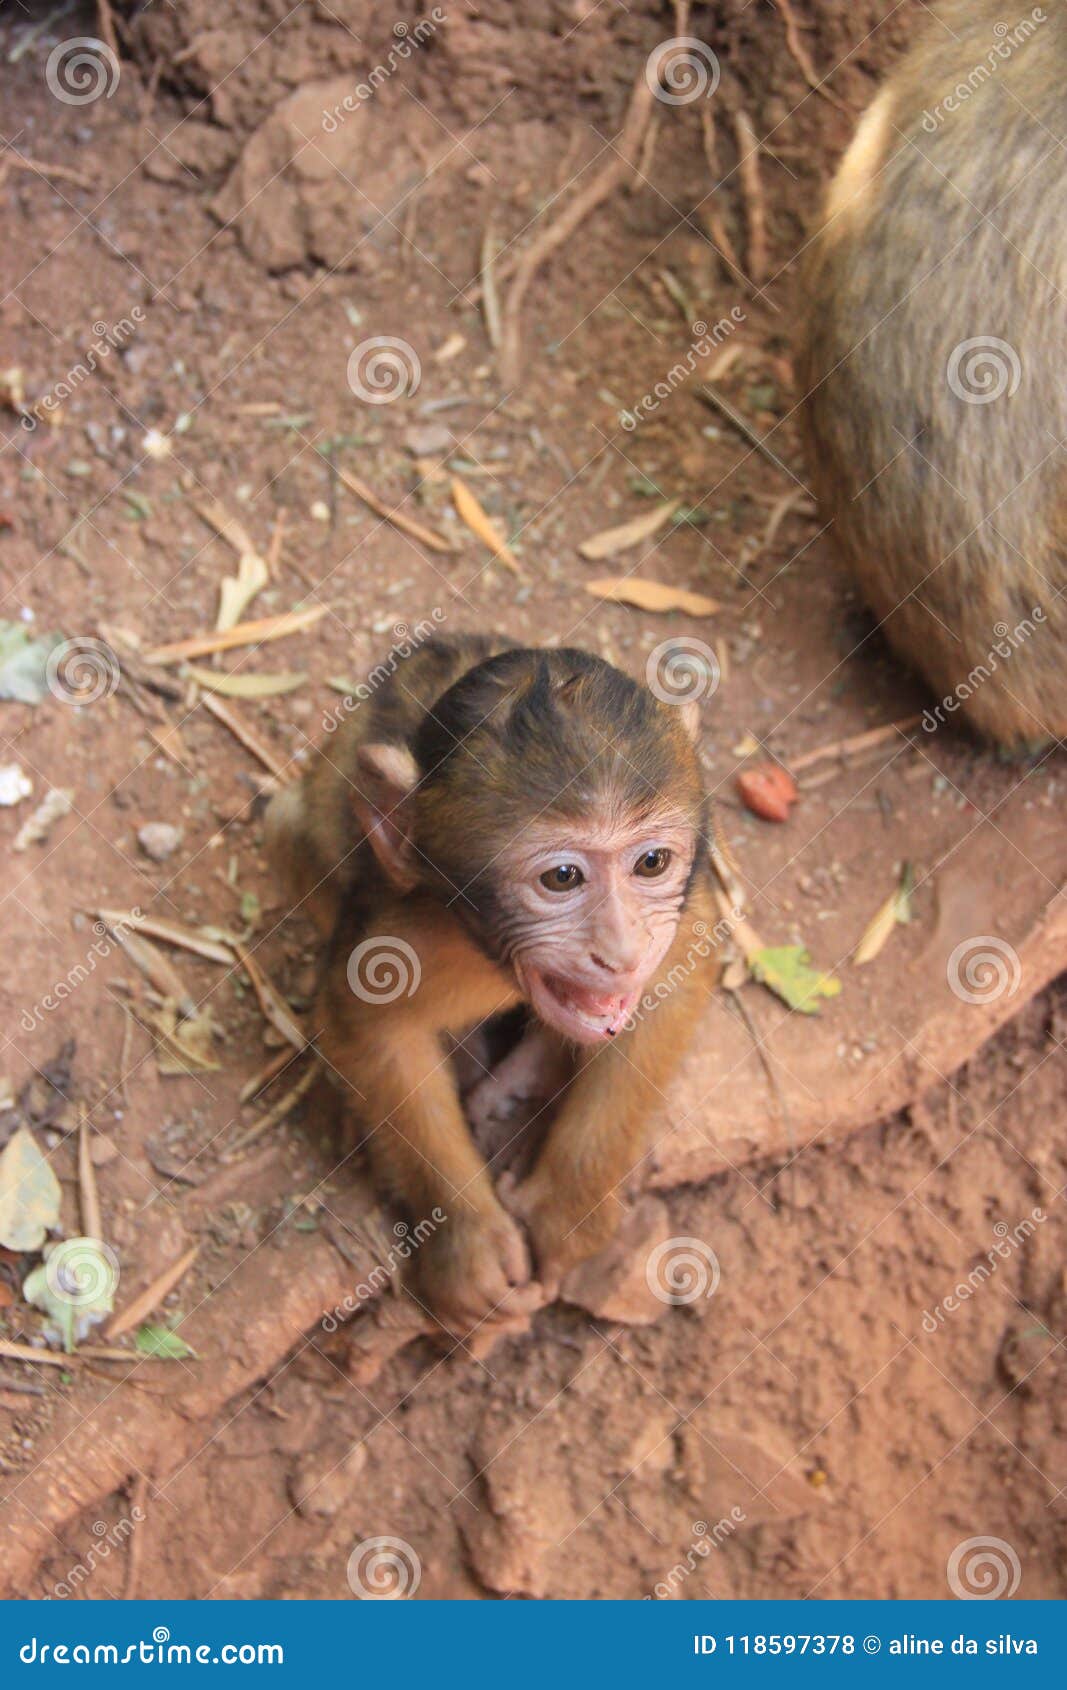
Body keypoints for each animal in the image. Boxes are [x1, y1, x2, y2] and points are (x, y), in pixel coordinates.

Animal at [265, 634, 716, 1332]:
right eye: (562, 878)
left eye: (651, 863)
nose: (622, 952)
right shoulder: (411, 935)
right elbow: (370, 1029)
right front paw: (469, 1242)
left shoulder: (679, 915)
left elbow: (678, 980)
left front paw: (567, 1211)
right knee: (287, 827)